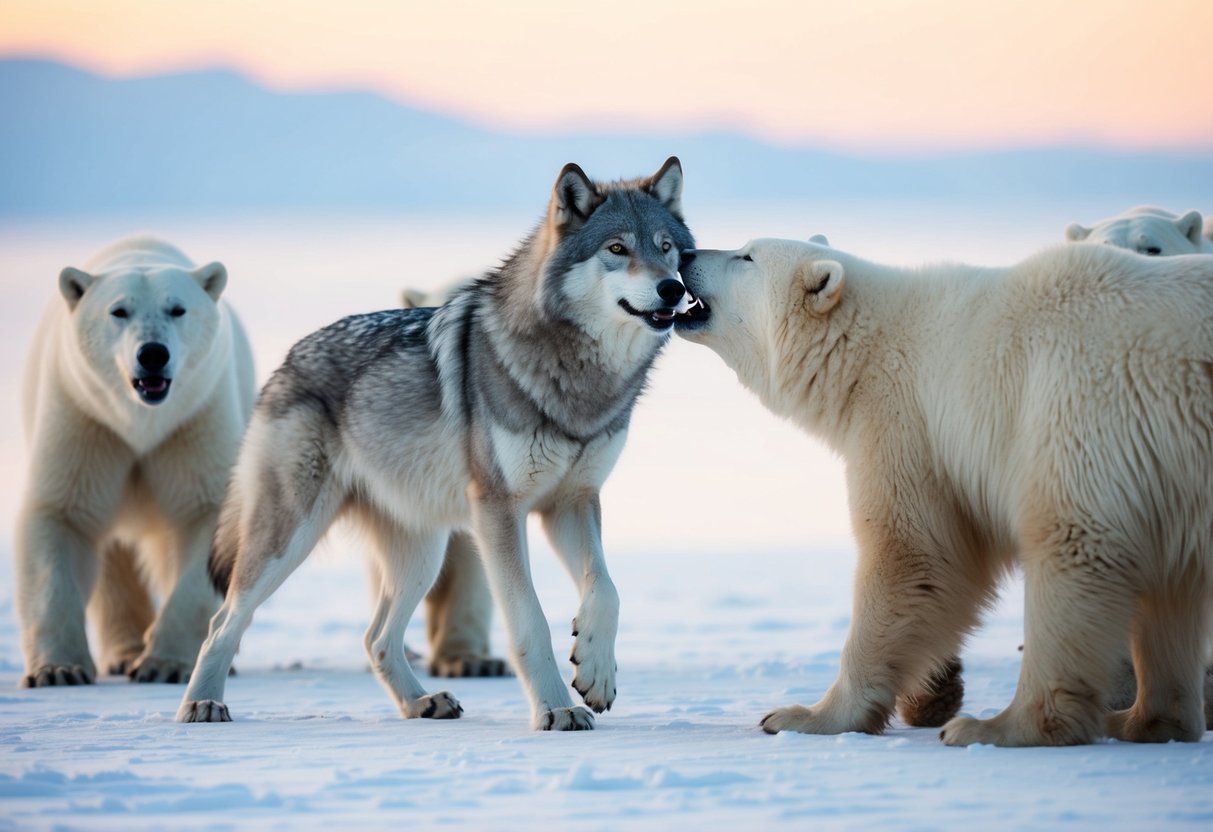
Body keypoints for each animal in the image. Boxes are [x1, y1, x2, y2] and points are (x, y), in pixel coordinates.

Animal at [178, 158, 694, 730]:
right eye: (618, 248)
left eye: (666, 247)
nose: (672, 289)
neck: (580, 379)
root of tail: (287, 360)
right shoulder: (498, 511)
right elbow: (530, 620)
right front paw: (557, 709)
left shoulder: (572, 503)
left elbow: (606, 588)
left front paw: (596, 674)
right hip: (288, 538)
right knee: (223, 621)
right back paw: (200, 704)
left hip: (423, 553)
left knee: (376, 638)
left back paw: (421, 702)